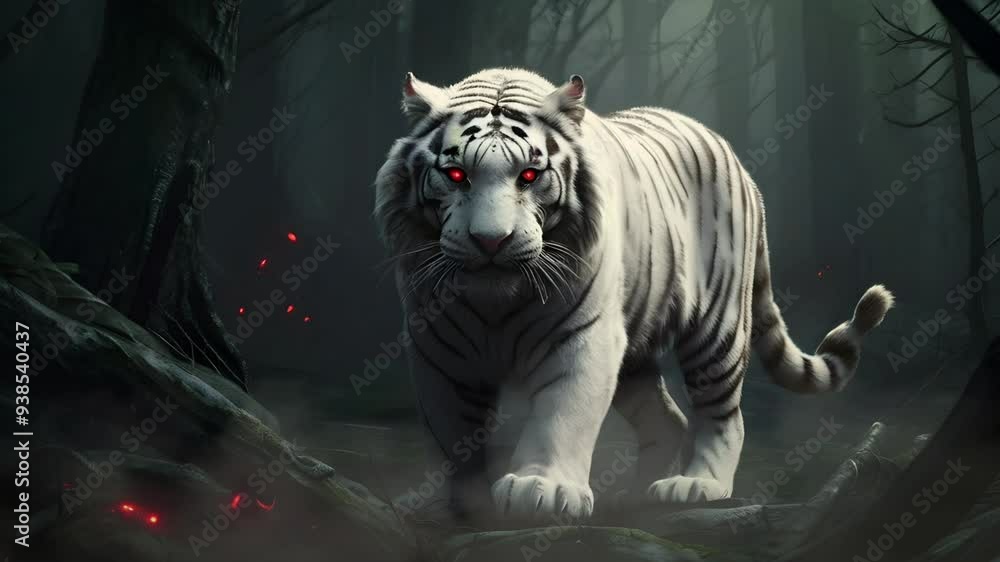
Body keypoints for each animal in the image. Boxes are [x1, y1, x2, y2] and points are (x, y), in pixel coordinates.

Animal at [374, 67, 893, 521]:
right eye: (456, 175)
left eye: (529, 176)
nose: (490, 241)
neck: (496, 300)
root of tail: (735, 160)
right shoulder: (439, 347)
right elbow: (455, 433)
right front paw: (467, 502)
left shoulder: (581, 335)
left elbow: (561, 413)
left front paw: (541, 488)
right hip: (634, 353)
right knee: (668, 420)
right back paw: (634, 493)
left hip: (717, 328)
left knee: (722, 413)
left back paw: (696, 485)